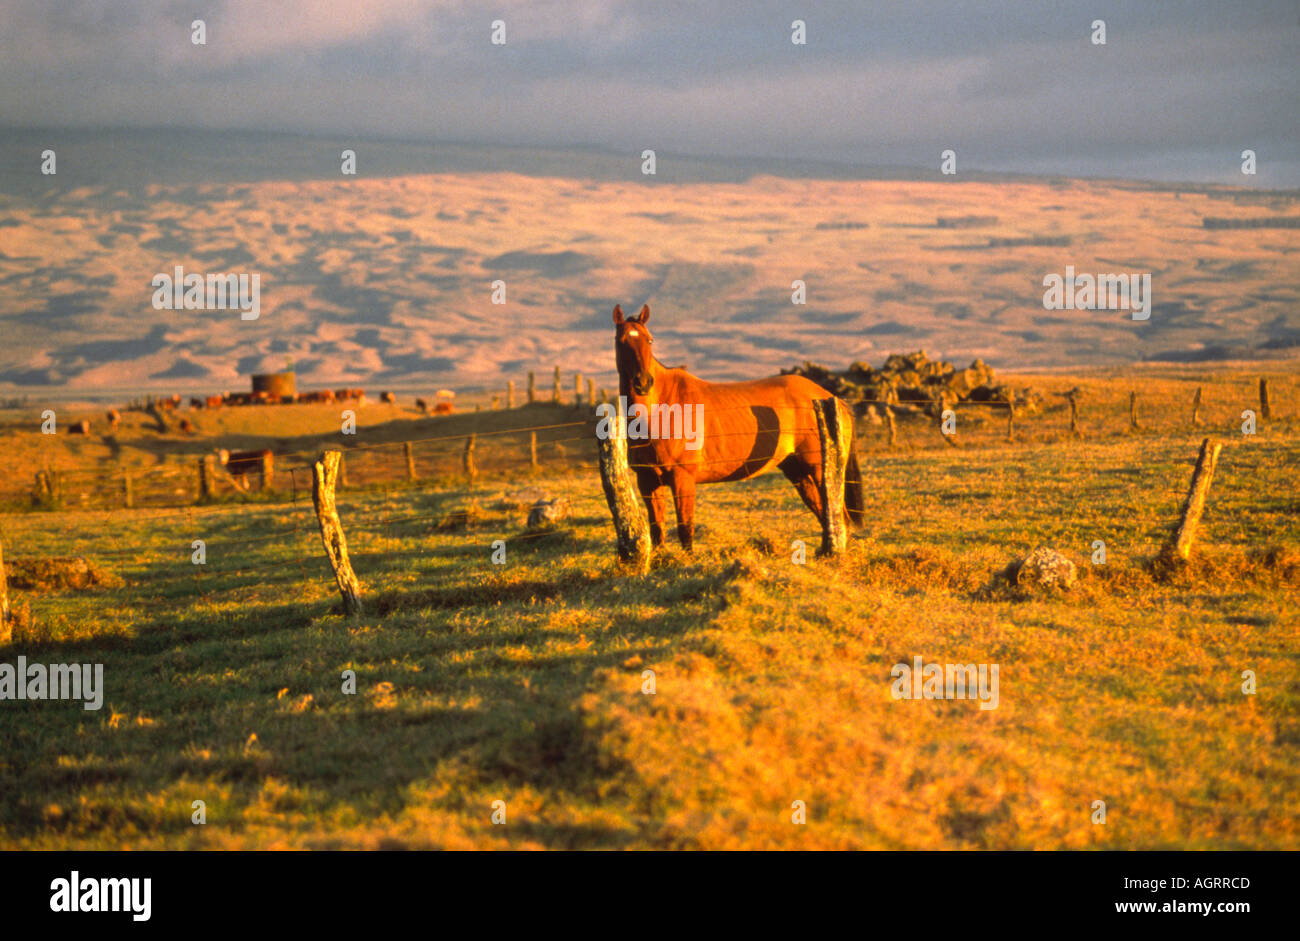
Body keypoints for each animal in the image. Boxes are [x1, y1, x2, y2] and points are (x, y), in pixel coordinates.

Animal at [610, 303, 865, 550]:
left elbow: (685, 531)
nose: (643, 382)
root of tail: (829, 397)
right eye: (621, 341)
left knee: (837, 514)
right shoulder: (647, 481)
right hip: (797, 471)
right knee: (823, 512)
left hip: (819, 469)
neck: (661, 408)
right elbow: (658, 532)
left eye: (649, 340)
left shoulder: (682, 478)